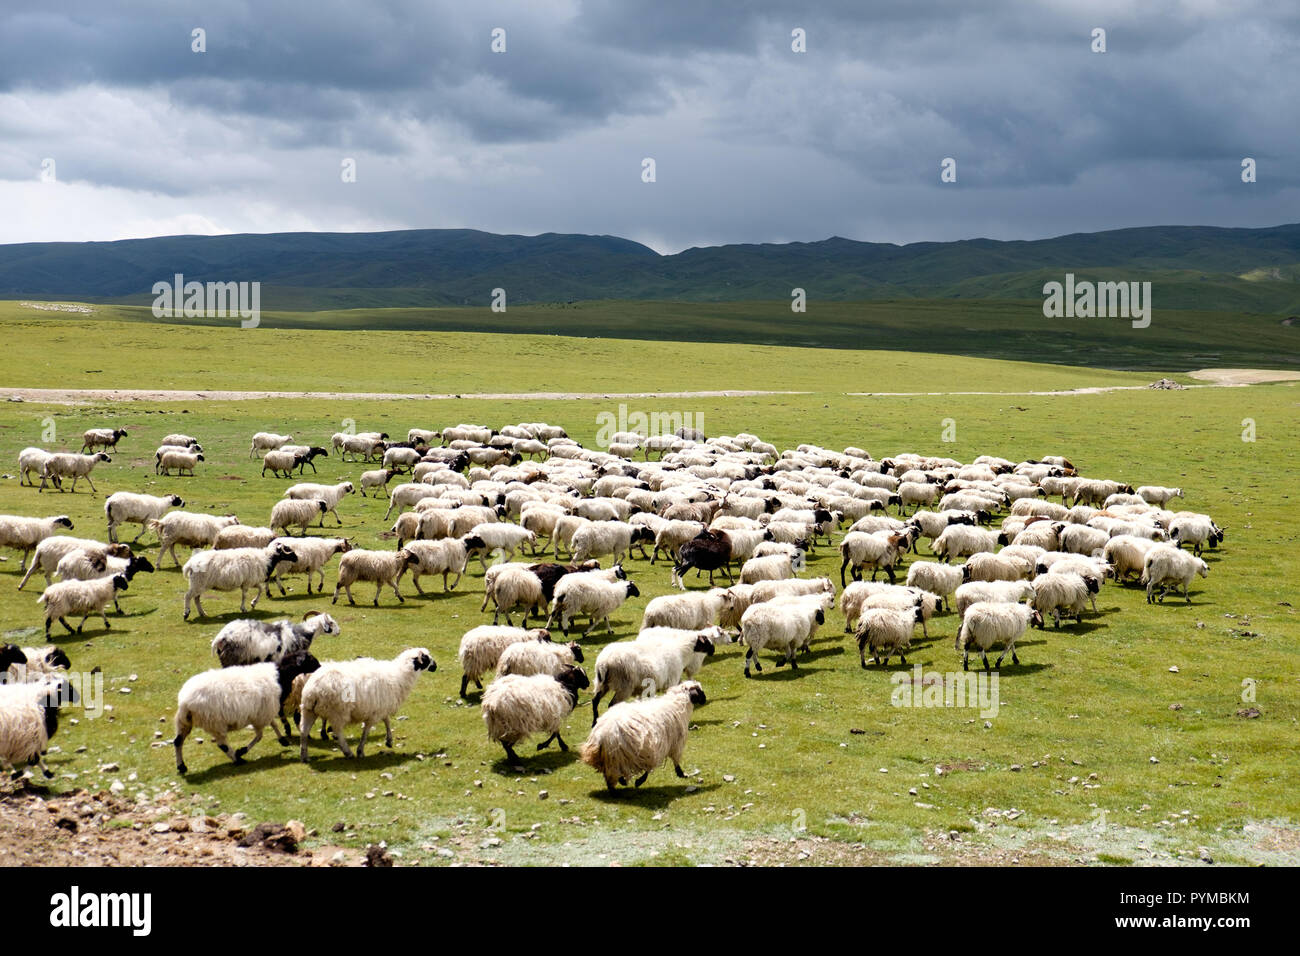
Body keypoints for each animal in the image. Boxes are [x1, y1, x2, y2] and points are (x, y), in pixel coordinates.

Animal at [173, 652, 320, 773]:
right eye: (311, 659)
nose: (320, 667)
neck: (280, 676)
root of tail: (185, 701)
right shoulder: (261, 715)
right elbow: (260, 736)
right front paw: (241, 751)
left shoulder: (262, 712)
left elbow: (273, 724)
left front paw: (283, 740)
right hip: (214, 723)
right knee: (222, 745)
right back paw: (237, 759)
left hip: (184, 722)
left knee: (177, 742)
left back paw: (181, 766)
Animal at [298, 647, 436, 761]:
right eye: (427, 658)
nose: (435, 666)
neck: (400, 675)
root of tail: (314, 690)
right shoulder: (374, 713)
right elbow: (366, 733)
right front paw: (360, 751)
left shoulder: (381, 707)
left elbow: (387, 720)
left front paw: (389, 740)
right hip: (337, 712)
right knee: (338, 732)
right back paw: (348, 752)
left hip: (308, 710)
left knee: (304, 731)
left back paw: (304, 756)